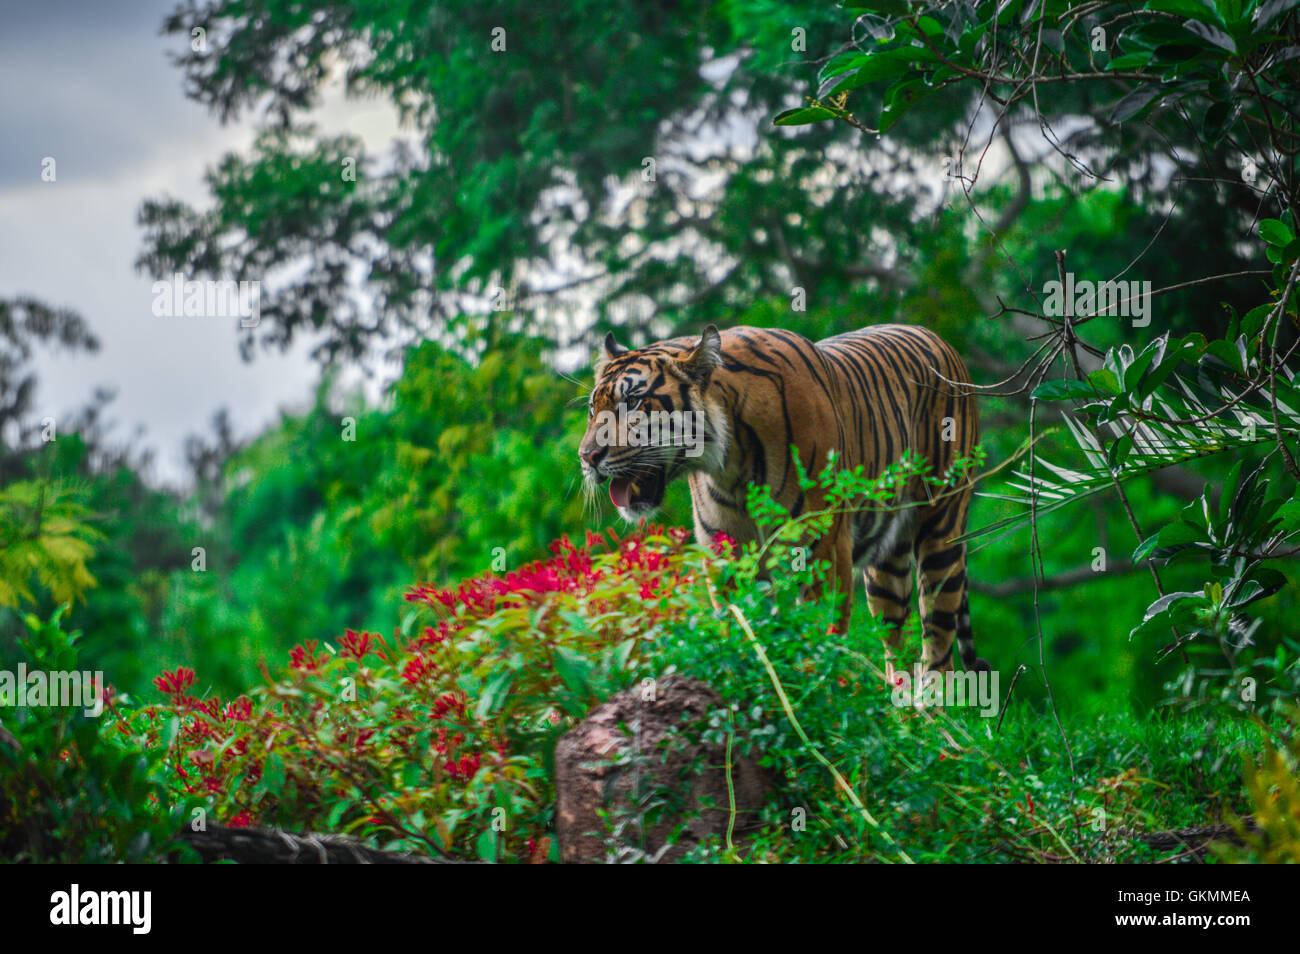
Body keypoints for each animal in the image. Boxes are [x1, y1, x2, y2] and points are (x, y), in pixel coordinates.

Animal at [577, 323, 989, 683]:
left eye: (633, 401)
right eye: (592, 409)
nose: (587, 457)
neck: (729, 463)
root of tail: (941, 340)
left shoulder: (822, 545)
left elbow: (819, 631)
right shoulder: (727, 554)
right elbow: (742, 628)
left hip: (942, 534)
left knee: (939, 649)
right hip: (886, 565)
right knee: (896, 646)